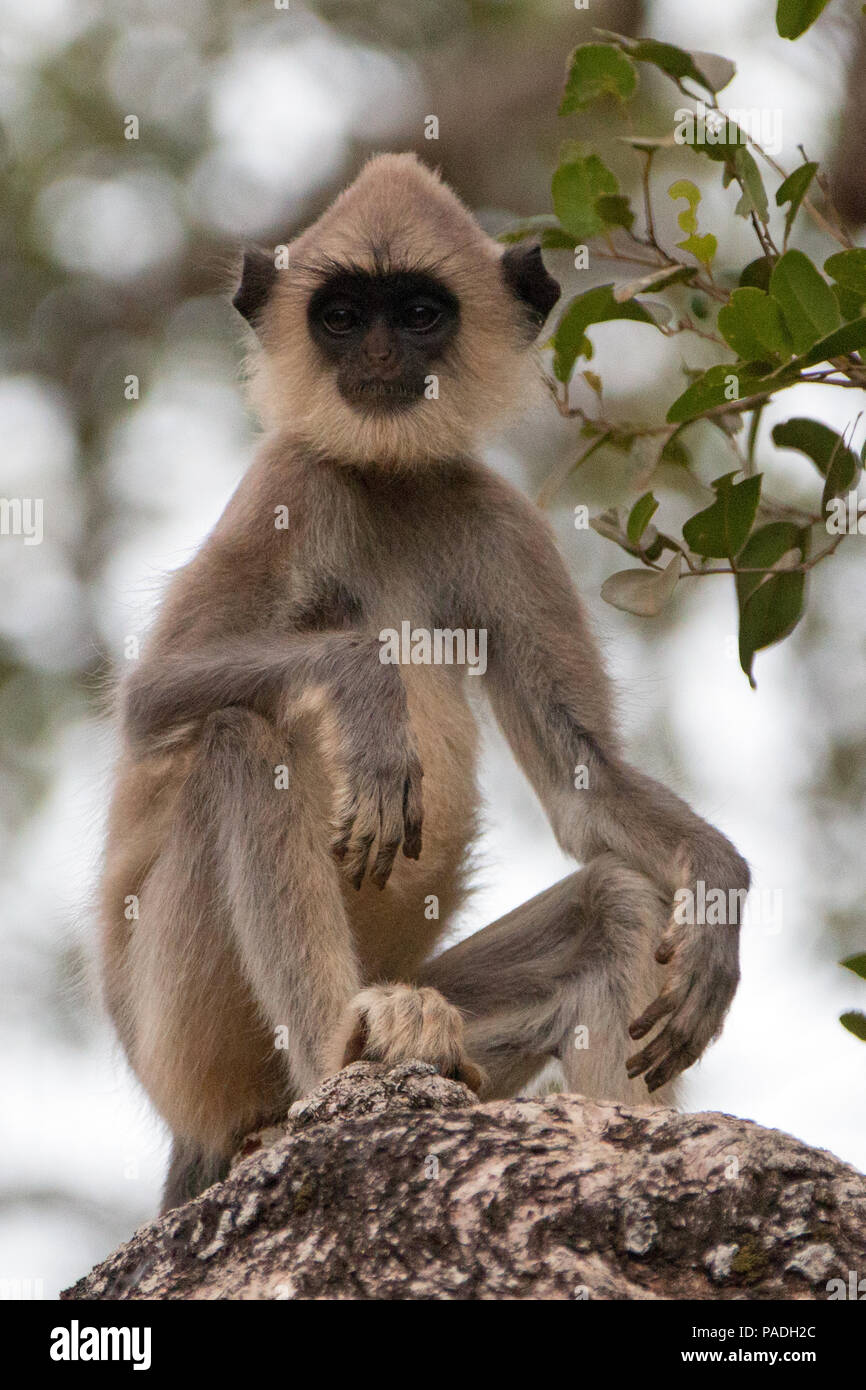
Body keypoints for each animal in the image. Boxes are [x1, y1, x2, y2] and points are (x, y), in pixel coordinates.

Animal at [99, 153, 749, 1214]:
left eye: (415, 313)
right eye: (340, 316)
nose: (374, 355)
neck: (385, 477)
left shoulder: (499, 516)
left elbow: (587, 787)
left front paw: (718, 887)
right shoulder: (289, 478)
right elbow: (150, 698)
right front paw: (366, 688)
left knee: (615, 905)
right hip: (183, 1043)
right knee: (239, 740)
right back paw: (344, 1054)